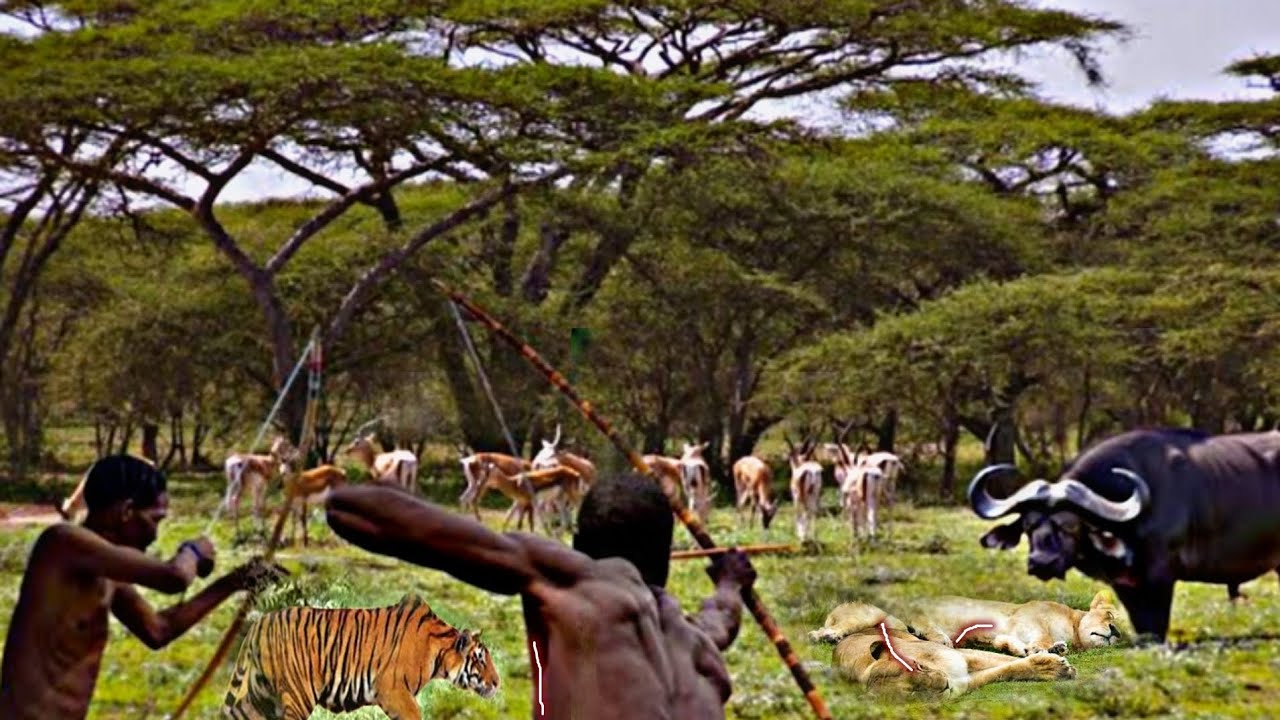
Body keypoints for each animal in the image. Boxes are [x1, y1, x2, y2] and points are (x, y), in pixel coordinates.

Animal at [968, 428, 1280, 643]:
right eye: (1029, 526)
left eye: (1071, 526)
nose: (1042, 562)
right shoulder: (1126, 585)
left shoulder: (1160, 579)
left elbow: (1155, 627)